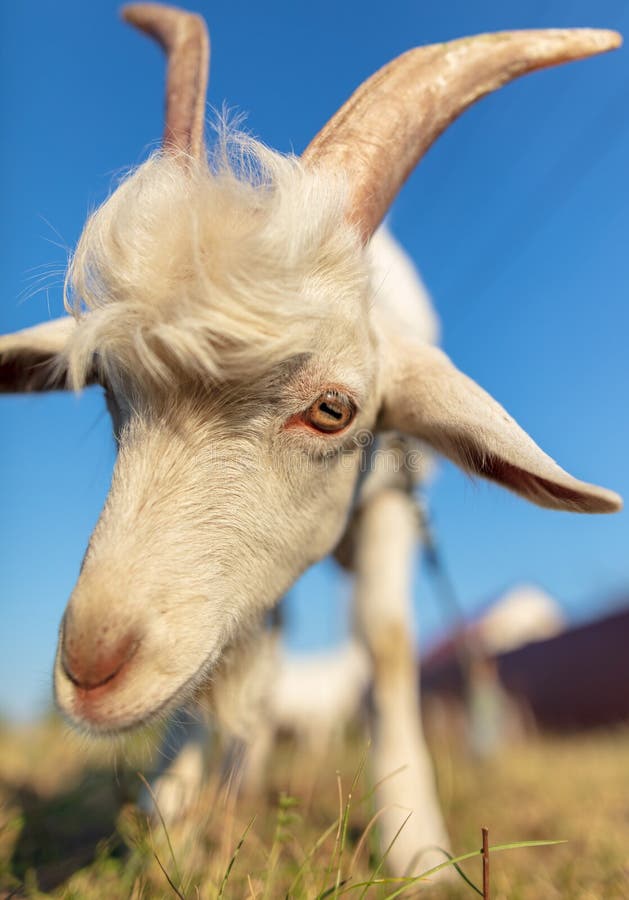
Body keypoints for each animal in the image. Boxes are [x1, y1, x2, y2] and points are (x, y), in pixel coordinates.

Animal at [0, 2, 622, 877]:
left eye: (333, 410)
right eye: (110, 390)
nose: (92, 670)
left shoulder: (393, 497)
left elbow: (387, 645)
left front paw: (415, 848)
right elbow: (241, 650)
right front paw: (172, 814)